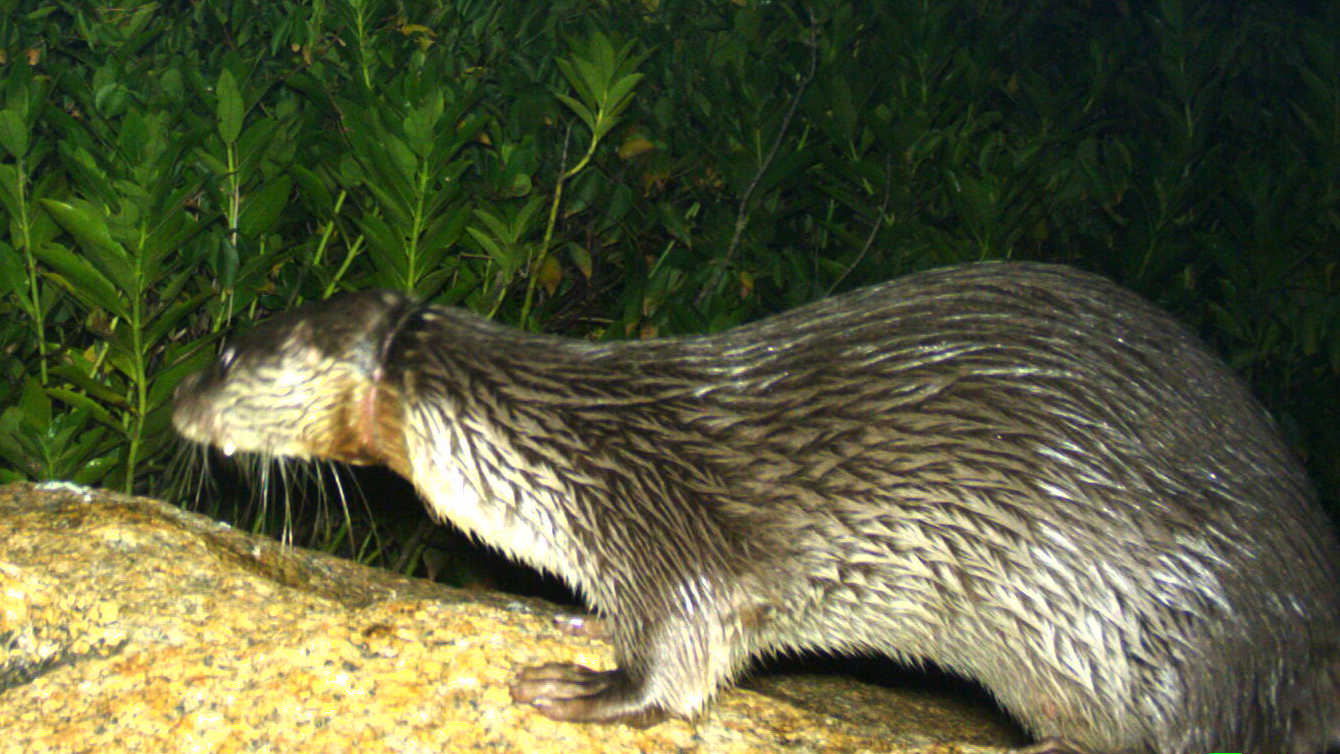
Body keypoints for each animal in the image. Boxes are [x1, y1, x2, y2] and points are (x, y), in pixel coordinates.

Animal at [172, 262, 1340, 754]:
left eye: (228, 352)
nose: (176, 407)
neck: (554, 445)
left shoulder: (662, 525)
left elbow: (685, 651)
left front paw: (584, 689)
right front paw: (575, 622)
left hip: (1189, 634)